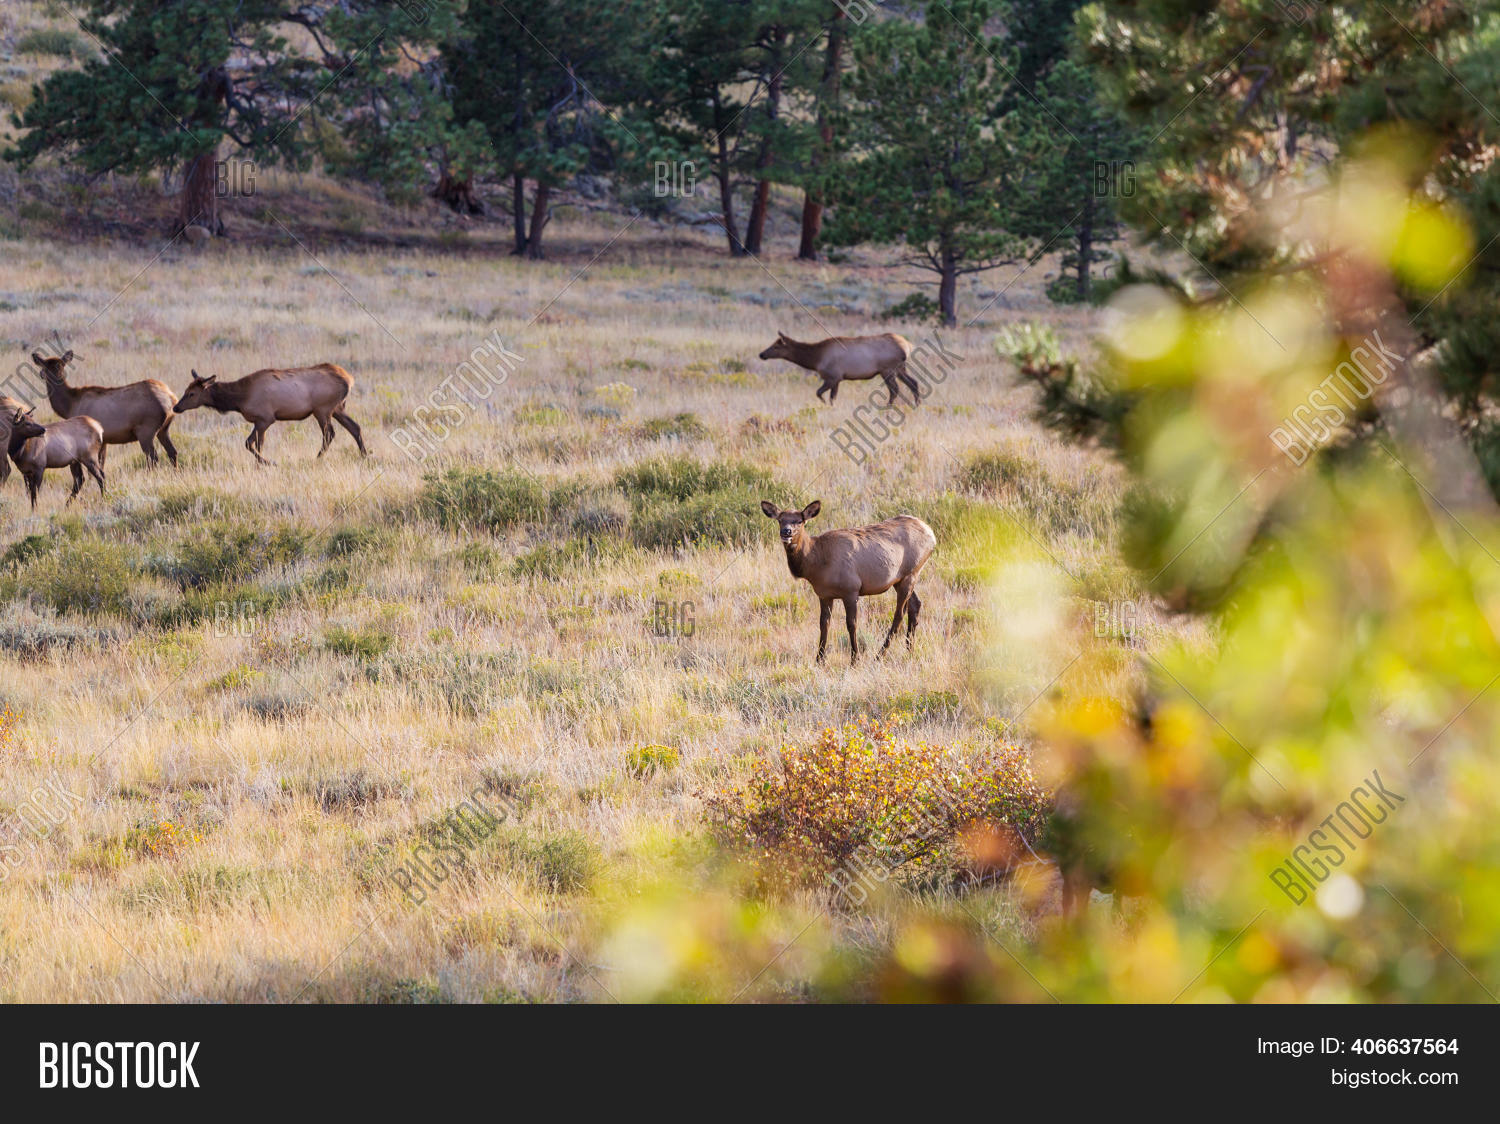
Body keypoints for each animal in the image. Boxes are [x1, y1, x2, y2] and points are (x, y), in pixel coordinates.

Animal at [30, 350, 179, 469]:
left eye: (44, 368)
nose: (41, 374)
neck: (70, 406)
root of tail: (171, 399)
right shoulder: (105, 439)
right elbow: (102, 463)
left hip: (145, 430)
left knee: (153, 458)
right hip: (163, 429)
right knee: (173, 452)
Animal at [173, 363, 368, 465]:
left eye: (192, 394)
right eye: (185, 390)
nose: (176, 407)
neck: (239, 399)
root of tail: (349, 380)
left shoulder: (266, 419)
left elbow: (255, 445)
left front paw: (267, 462)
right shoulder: (259, 421)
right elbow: (250, 443)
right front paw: (264, 463)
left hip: (323, 409)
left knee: (329, 434)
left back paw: (316, 459)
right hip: (338, 408)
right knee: (355, 427)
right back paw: (364, 455)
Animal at [758, 332, 923, 406]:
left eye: (776, 346)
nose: (761, 354)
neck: (815, 359)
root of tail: (907, 345)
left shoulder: (833, 377)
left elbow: (820, 393)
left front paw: (825, 404)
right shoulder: (837, 380)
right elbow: (833, 397)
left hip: (888, 370)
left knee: (895, 389)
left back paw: (888, 407)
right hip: (900, 368)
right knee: (914, 383)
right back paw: (917, 404)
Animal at [761, 500, 937, 666]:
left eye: (799, 520)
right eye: (780, 520)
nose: (786, 532)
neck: (816, 563)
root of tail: (931, 534)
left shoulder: (851, 590)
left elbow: (851, 624)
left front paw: (854, 659)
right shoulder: (824, 595)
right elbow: (824, 624)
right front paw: (819, 660)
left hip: (910, 574)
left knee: (899, 614)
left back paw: (879, 656)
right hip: (900, 579)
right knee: (915, 605)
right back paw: (909, 651)